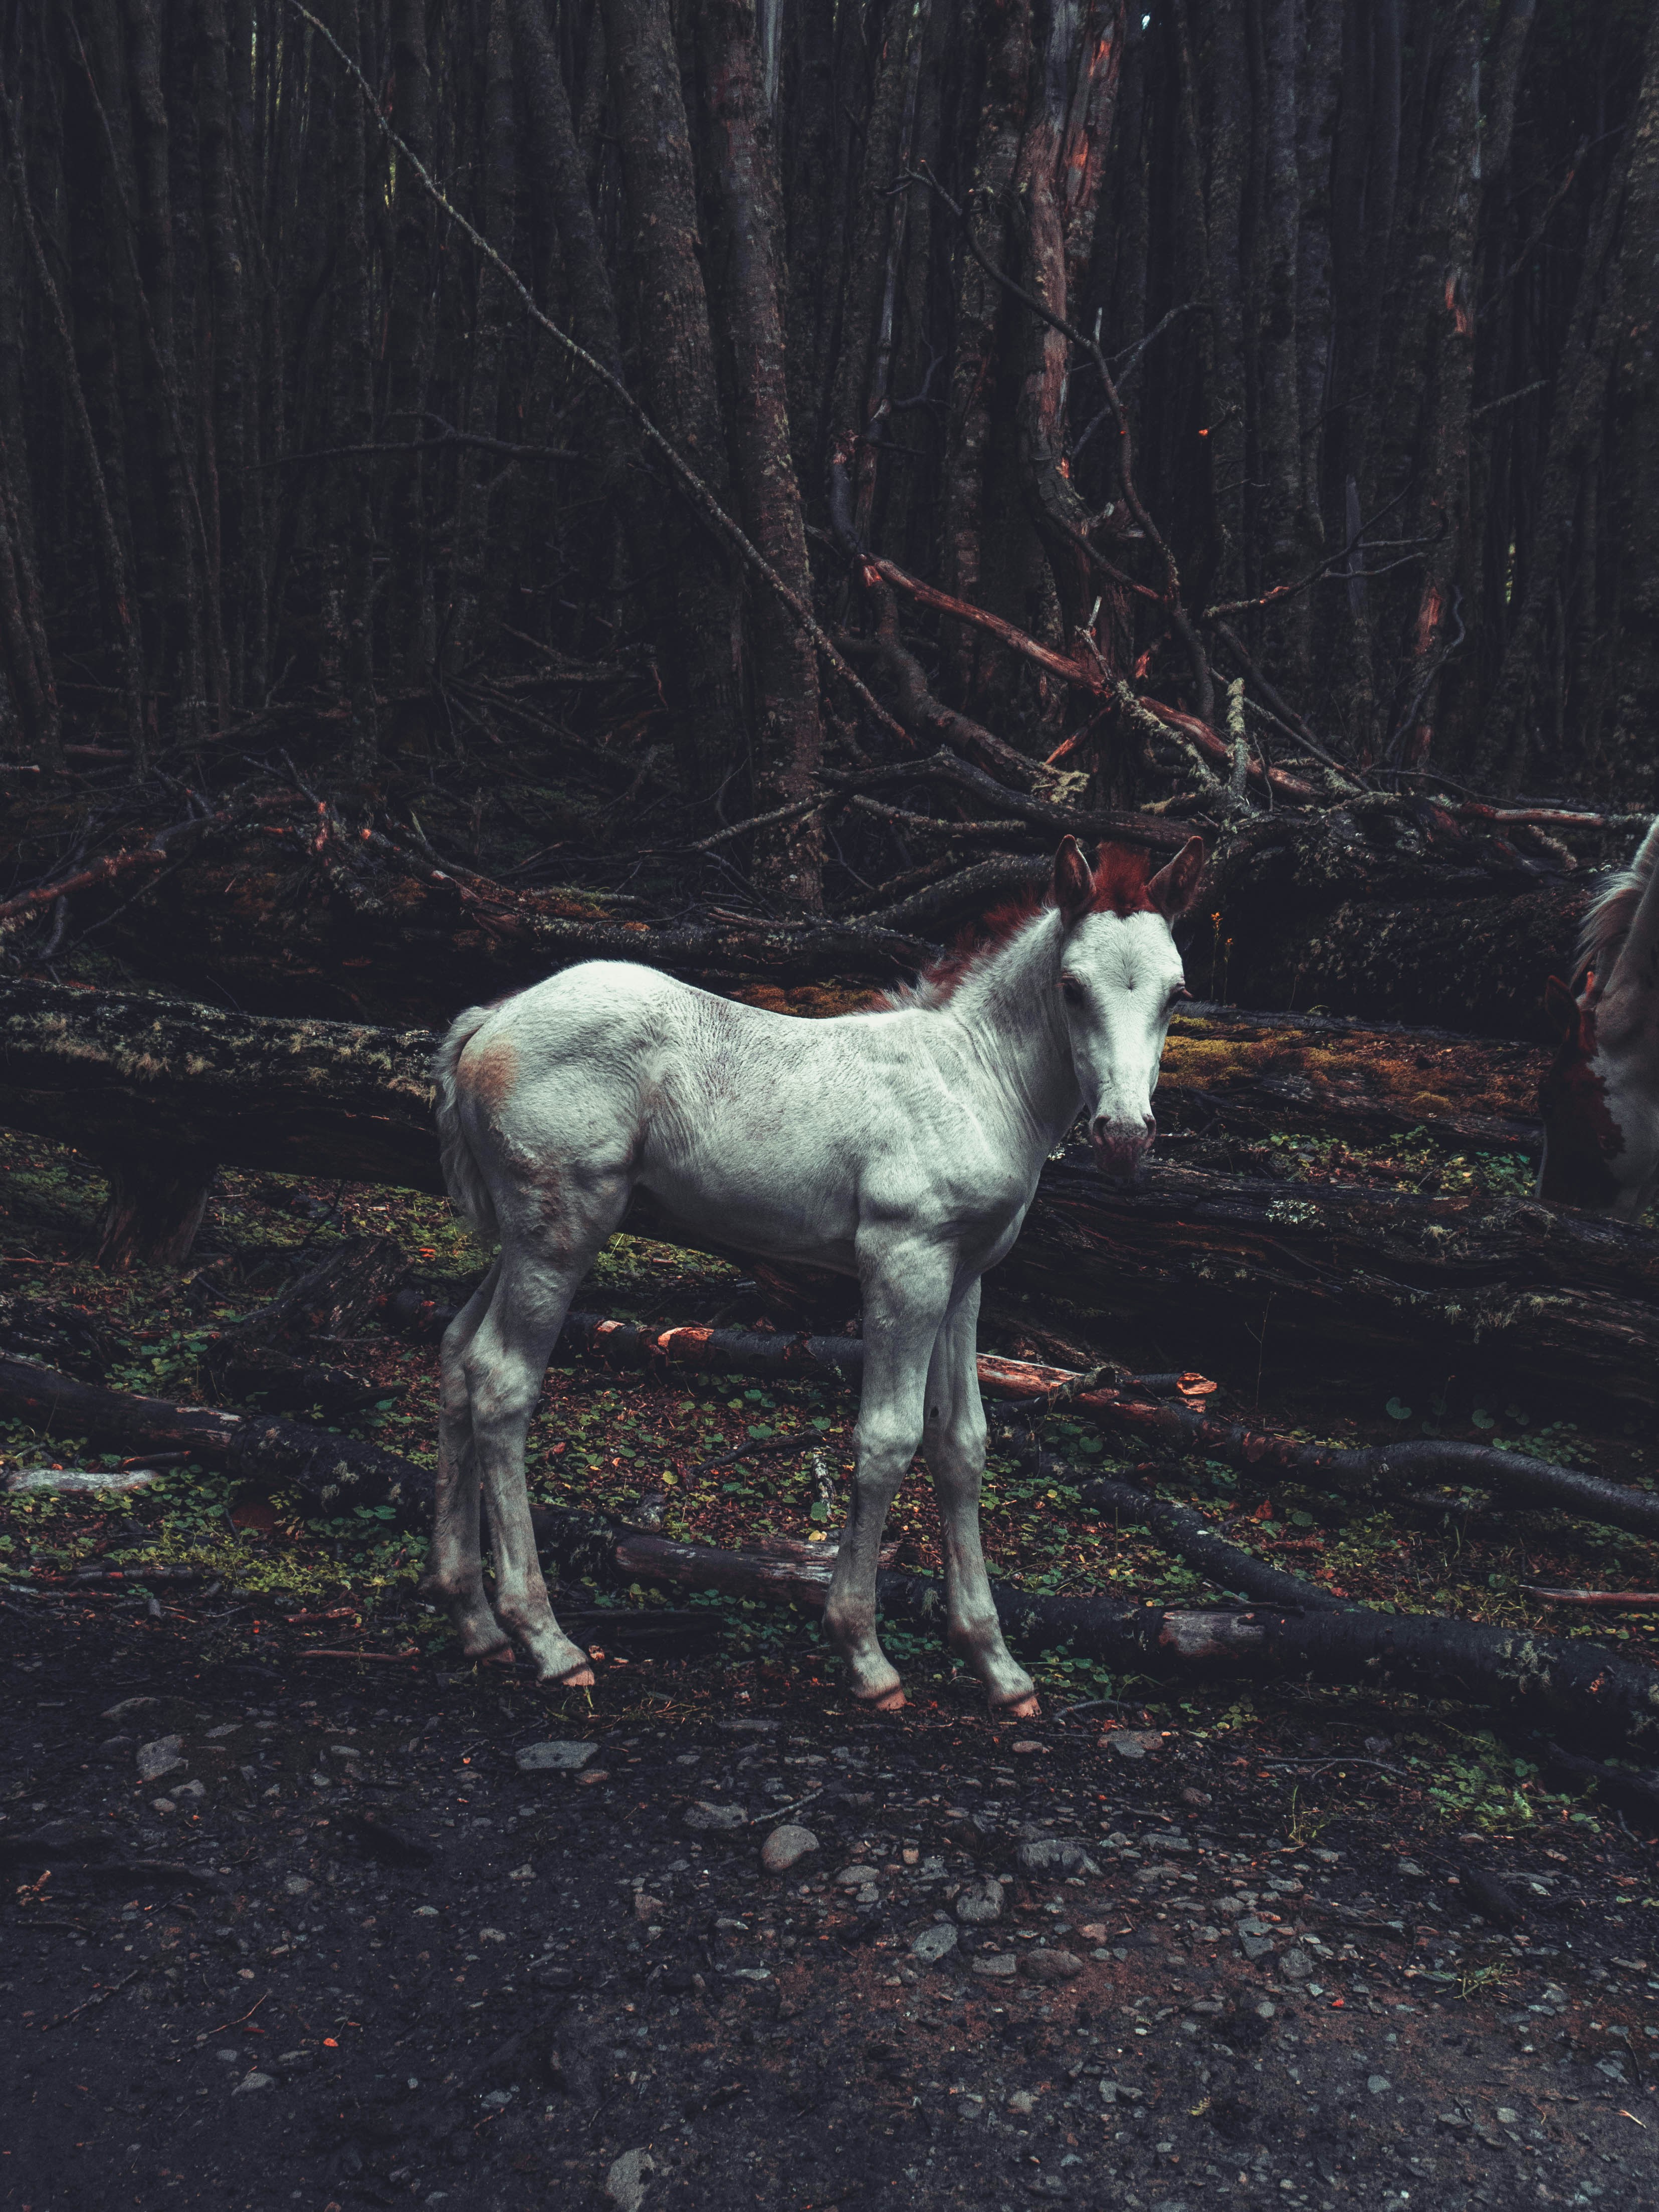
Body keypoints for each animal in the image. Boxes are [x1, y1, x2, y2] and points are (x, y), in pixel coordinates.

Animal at [424, 830, 1206, 1715]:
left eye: (1176, 994)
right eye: (1072, 988)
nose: (1124, 1135)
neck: (975, 1081)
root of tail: (488, 1021)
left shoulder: (964, 1276)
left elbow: (962, 1443)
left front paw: (997, 1666)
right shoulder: (903, 1261)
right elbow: (889, 1438)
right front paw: (863, 1653)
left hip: (525, 1236)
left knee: (458, 1353)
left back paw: (474, 1619)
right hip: (563, 1228)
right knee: (502, 1380)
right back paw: (547, 1640)